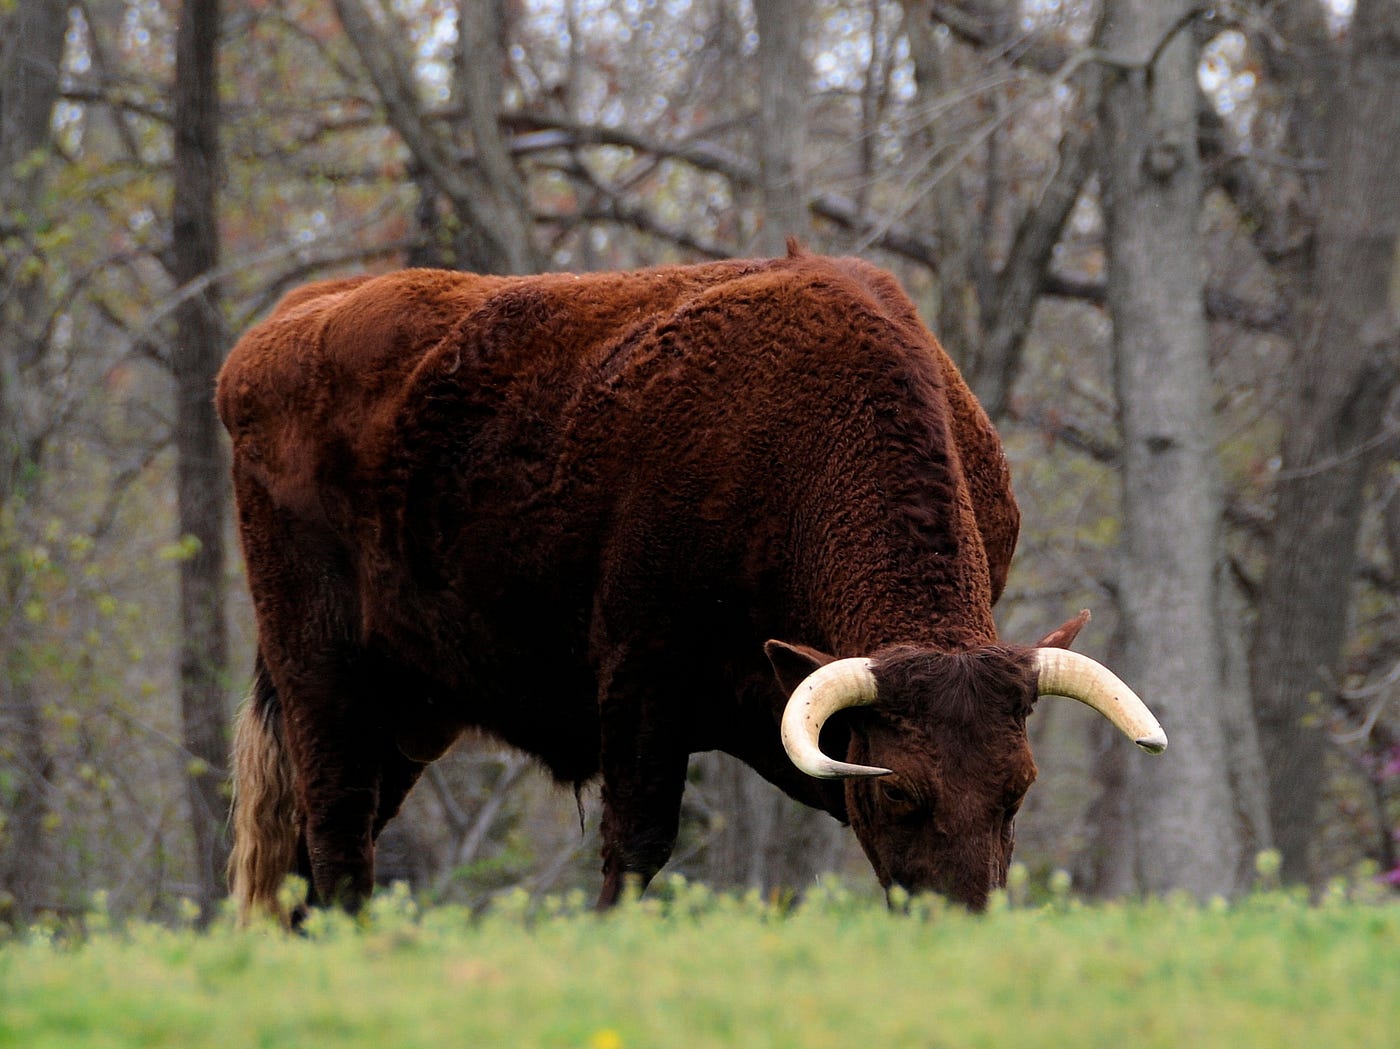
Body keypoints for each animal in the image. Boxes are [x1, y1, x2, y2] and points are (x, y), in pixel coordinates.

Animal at [220, 246, 1164, 922]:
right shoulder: (643, 677)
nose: (967, 928)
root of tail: (283, 326)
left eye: (1019, 789)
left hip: (410, 710)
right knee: (336, 839)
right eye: (901, 787)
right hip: (322, 674)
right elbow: (637, 845)